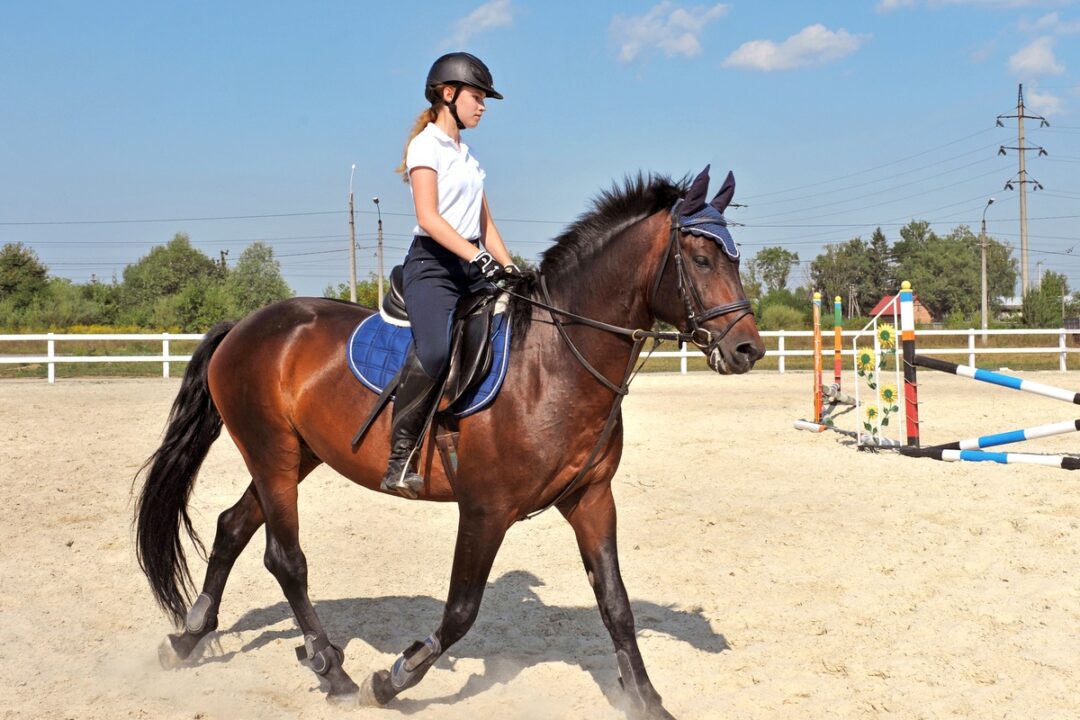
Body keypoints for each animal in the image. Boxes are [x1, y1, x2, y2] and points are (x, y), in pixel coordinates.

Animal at [134, 166, 765, 720]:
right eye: (702, 259)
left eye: (736, 258)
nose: (748, 351)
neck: (555, 362)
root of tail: (243, 326)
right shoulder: (485, 509)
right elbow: (461, 611)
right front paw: (392, 679)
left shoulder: (591, 499)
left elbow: (616, 605)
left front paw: (647, 700)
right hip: (273, 455)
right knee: (285, 558)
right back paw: (333, 671)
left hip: (295, 456)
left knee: (233, 527)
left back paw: (188, 639)